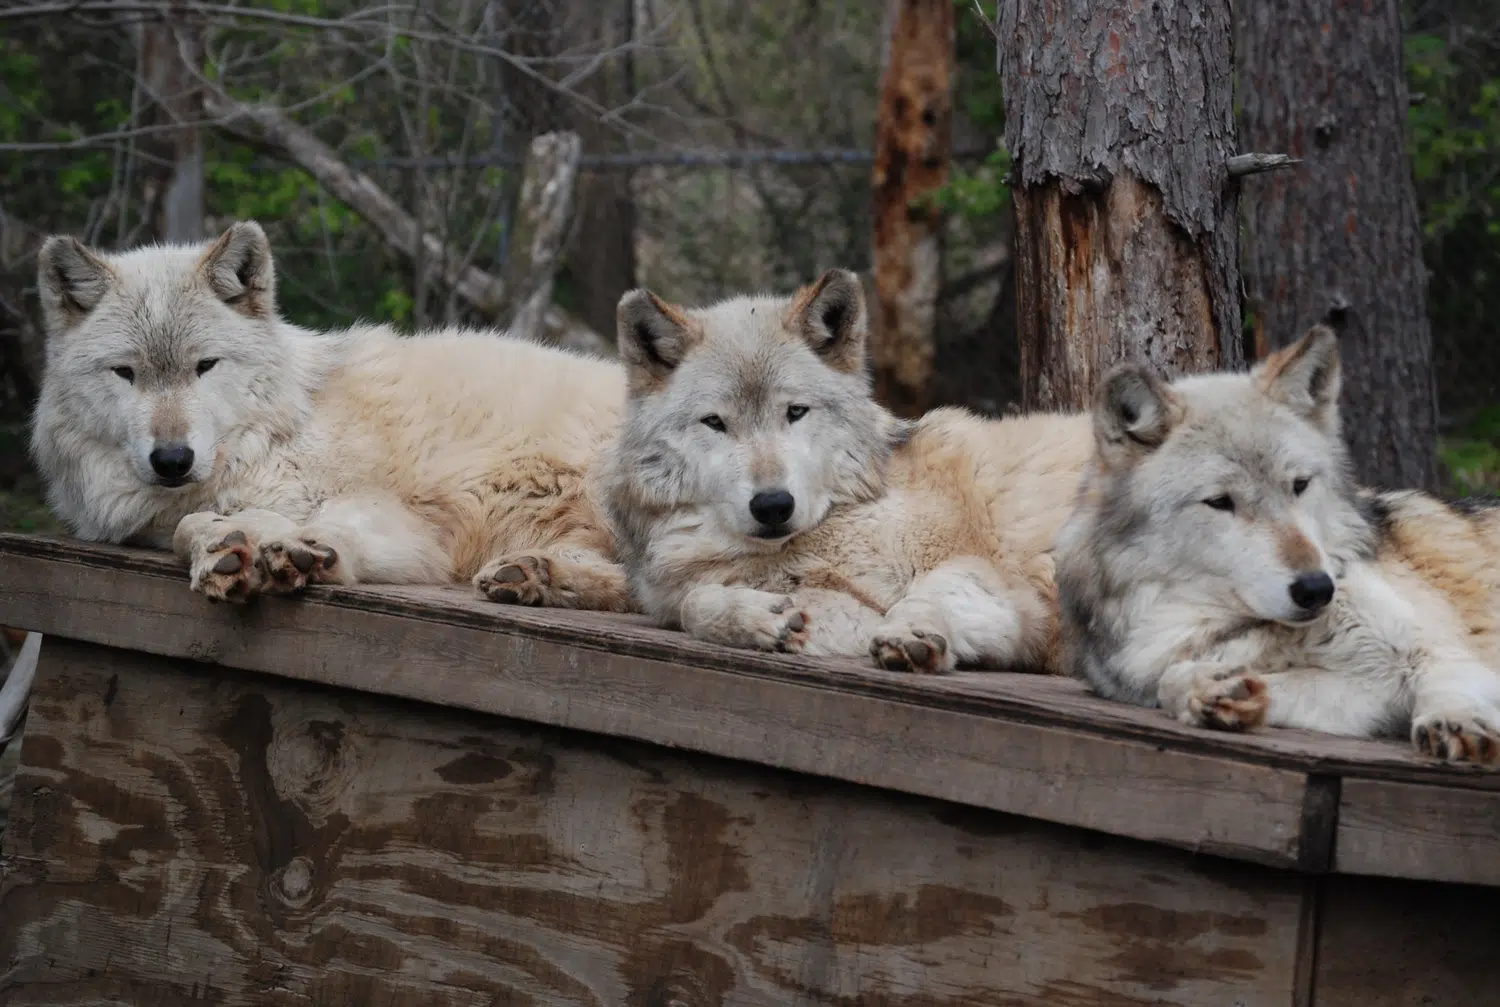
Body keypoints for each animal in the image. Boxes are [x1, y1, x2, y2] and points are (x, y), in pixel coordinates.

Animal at [30, 221, 632, 611]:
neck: (269, 436)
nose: (172, 459)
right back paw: (531, 575)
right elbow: (193, 527)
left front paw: (304, 552)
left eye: (204, 366)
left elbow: (312, 524)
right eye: (125, 373)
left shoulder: (398, 522)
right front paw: (229, 552)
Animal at [596, 268, 1092, 673]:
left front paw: (913, 634)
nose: (773, 505)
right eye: (715, 422)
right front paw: (760, 616)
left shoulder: (997, 585)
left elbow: (932, 593)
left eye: (796, 412)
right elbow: (693, 604)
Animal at [1054, 325, 1500, 764]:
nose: (1317, 589)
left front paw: (1453, 721)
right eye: (1220, 502)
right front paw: (1209, 691)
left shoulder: (1436, 652)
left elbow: (1448, 677)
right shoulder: (1366, 692)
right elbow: (1171, 682)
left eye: (1299, 485)